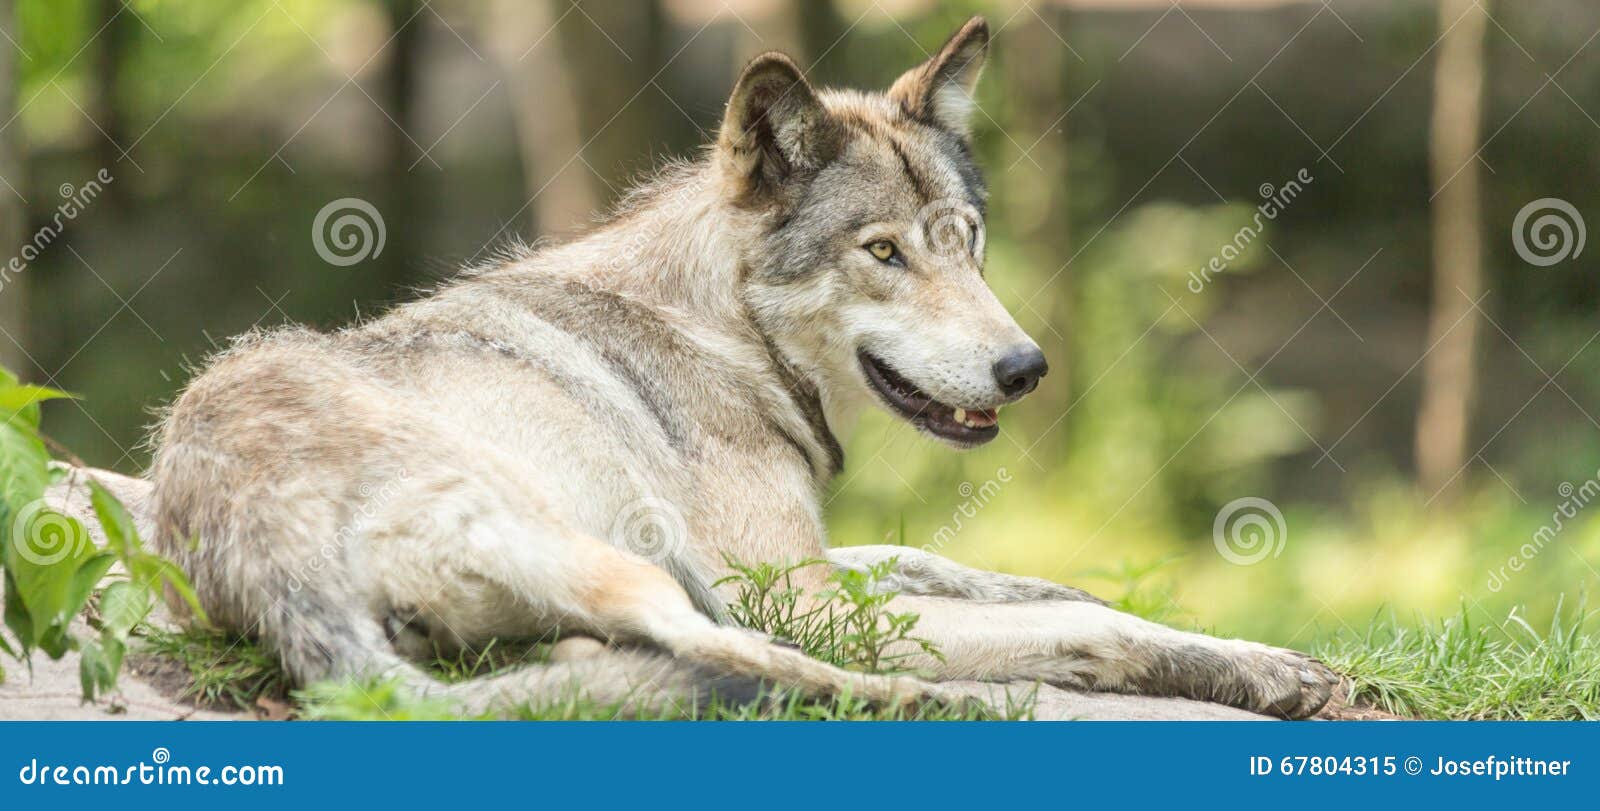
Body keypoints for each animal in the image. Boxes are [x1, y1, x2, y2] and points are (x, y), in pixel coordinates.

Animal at [148, 16, 1336, 718]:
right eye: (884, 254)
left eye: (965, 241)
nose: (1025, 367)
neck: (727, 336)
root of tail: (241, 543)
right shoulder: (789, 592)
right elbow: (1080, 626)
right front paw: (1261, 668)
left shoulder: (811, 557)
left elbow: (959, 565)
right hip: (620, 557)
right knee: (751, 654)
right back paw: (919, 700)